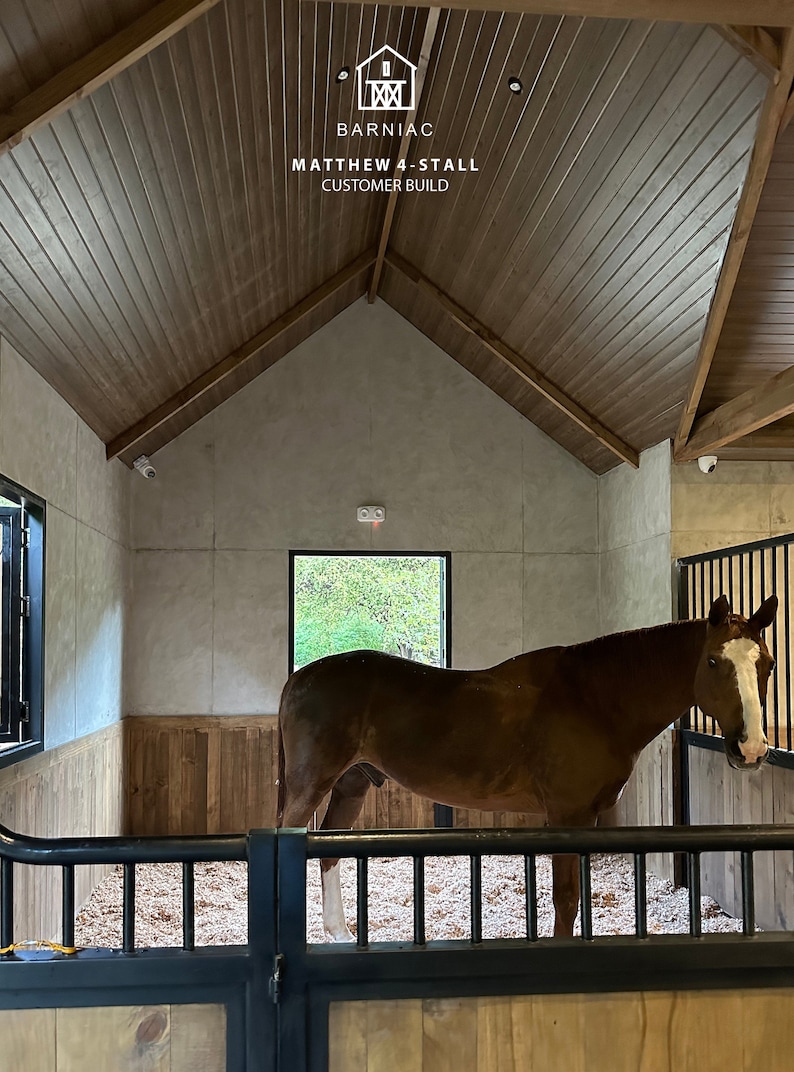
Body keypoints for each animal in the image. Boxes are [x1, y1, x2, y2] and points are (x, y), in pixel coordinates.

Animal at [277, 594, 777, 940]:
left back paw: (340, 935)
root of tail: (299, 677)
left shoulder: (588, 818)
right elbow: (566, 899)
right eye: (712, 661)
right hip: (310, 786)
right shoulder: (567, 815)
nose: (751, 748)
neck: (594, 699)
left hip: (351, 785)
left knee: (329, 850)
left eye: (768, 664)